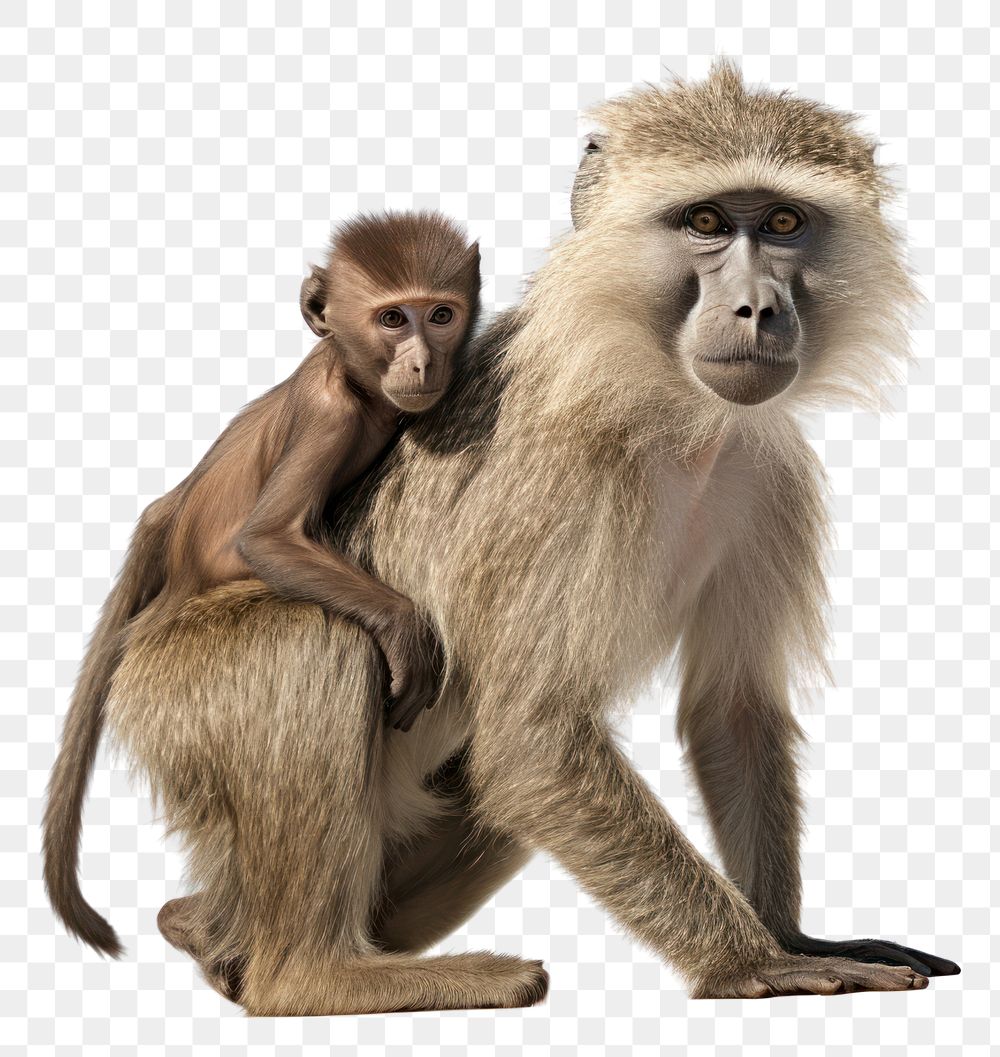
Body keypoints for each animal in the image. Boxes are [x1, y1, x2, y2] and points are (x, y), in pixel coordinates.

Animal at [42, 210, 481, 962]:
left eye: (442, 315)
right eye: (394, 318)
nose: (423, 362)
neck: (352, 377)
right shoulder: (330, 415)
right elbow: (268, 539)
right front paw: (406, 633)